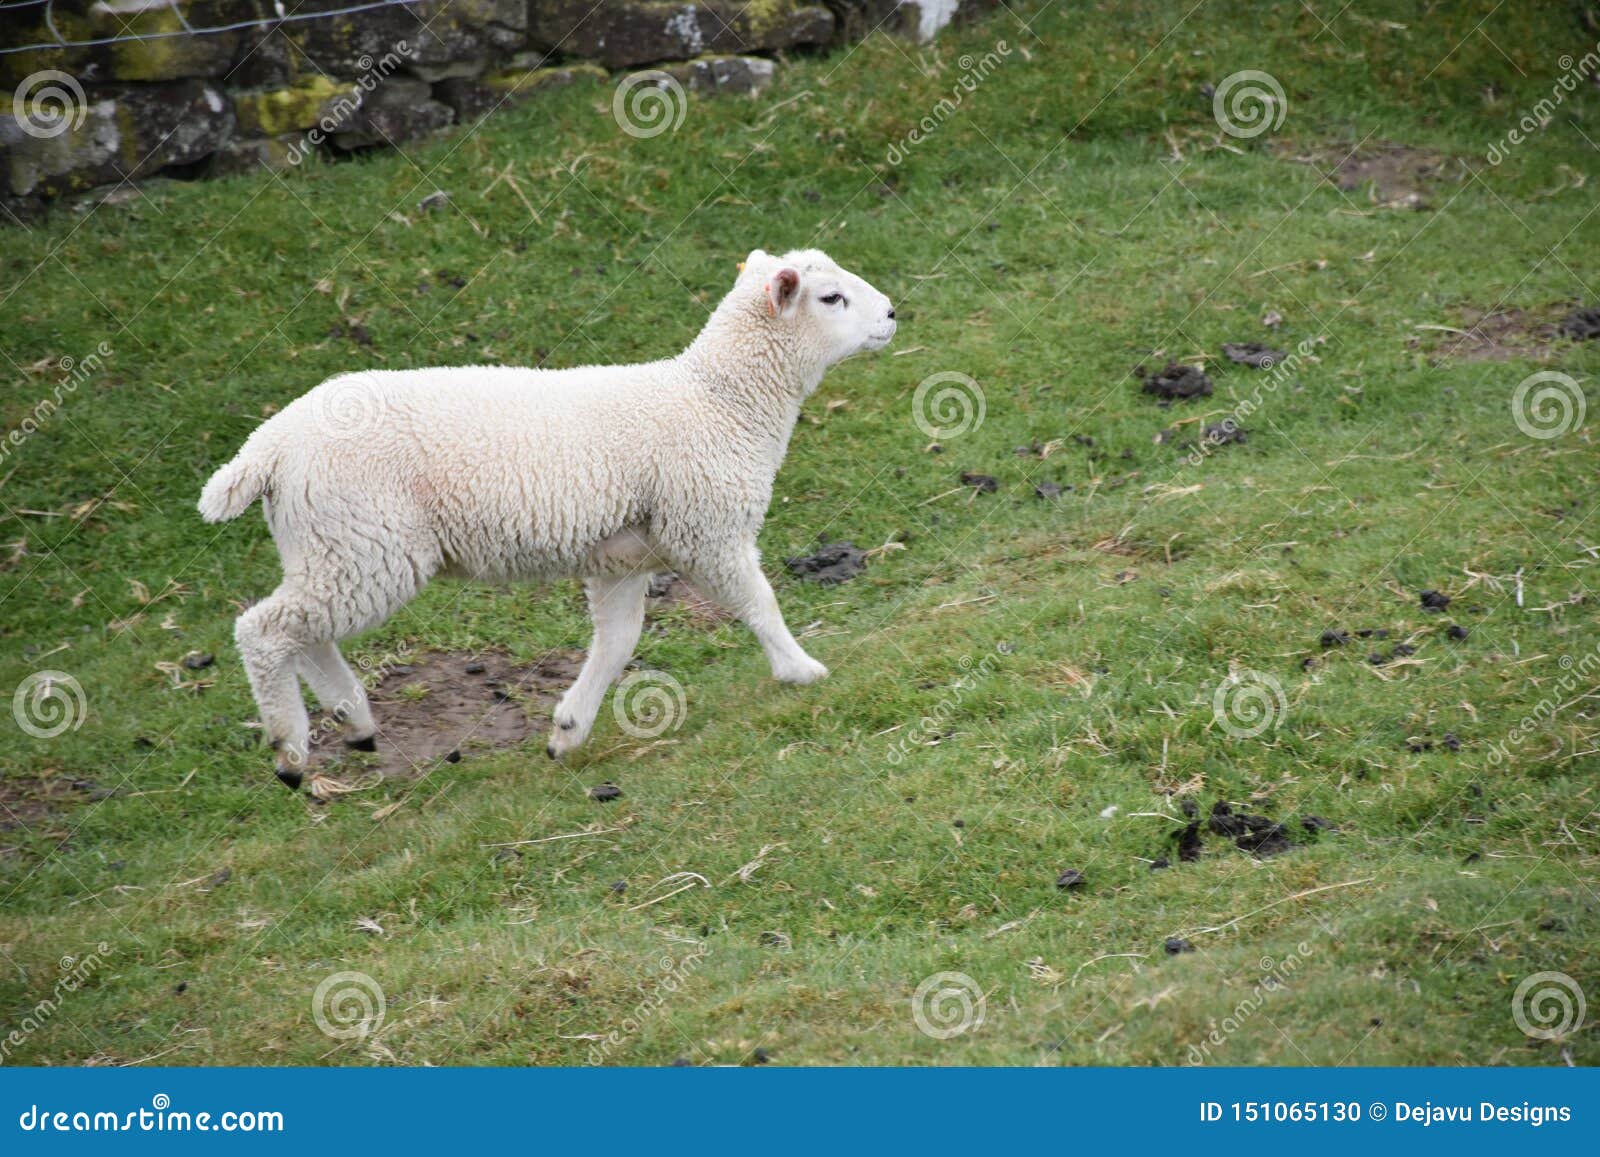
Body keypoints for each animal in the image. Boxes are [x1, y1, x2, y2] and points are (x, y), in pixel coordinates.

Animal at [198, 248, 897, 789]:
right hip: (365, 543)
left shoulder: (623, 557)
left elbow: (617, 645)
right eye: (832, 297)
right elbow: (759, 602)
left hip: (333, 546)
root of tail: (268, 448)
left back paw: (355, 723)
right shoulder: (706, 526)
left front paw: (569, 728)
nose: (892, 313)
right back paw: (290, 748)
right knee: (264, 630)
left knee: (308, 631)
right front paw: (800, 669)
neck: (718, 400)